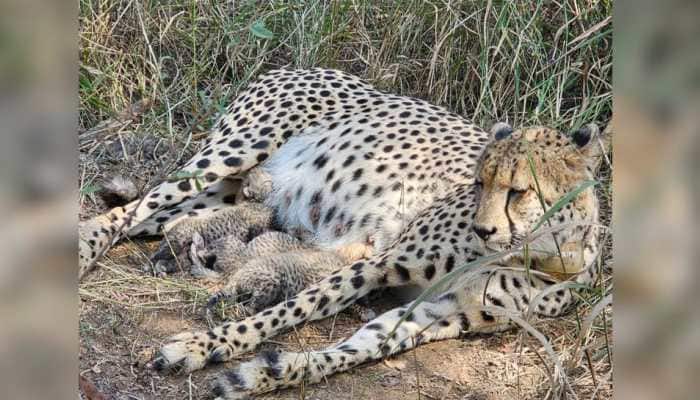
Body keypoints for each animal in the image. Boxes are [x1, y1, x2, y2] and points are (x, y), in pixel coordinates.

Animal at [77, 68, 604, 399]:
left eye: (518, 191)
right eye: (479, 182)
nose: (483, 226)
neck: (539, 251)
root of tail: (298, 66)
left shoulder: (441, 312)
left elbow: (356, 348)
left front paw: (269, 374)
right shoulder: (380, 263)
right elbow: (294, 308)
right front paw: (202, 346)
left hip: (228, 196)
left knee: (156, 219)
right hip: (229, 154)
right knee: (128, 210)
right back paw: (82, 249)